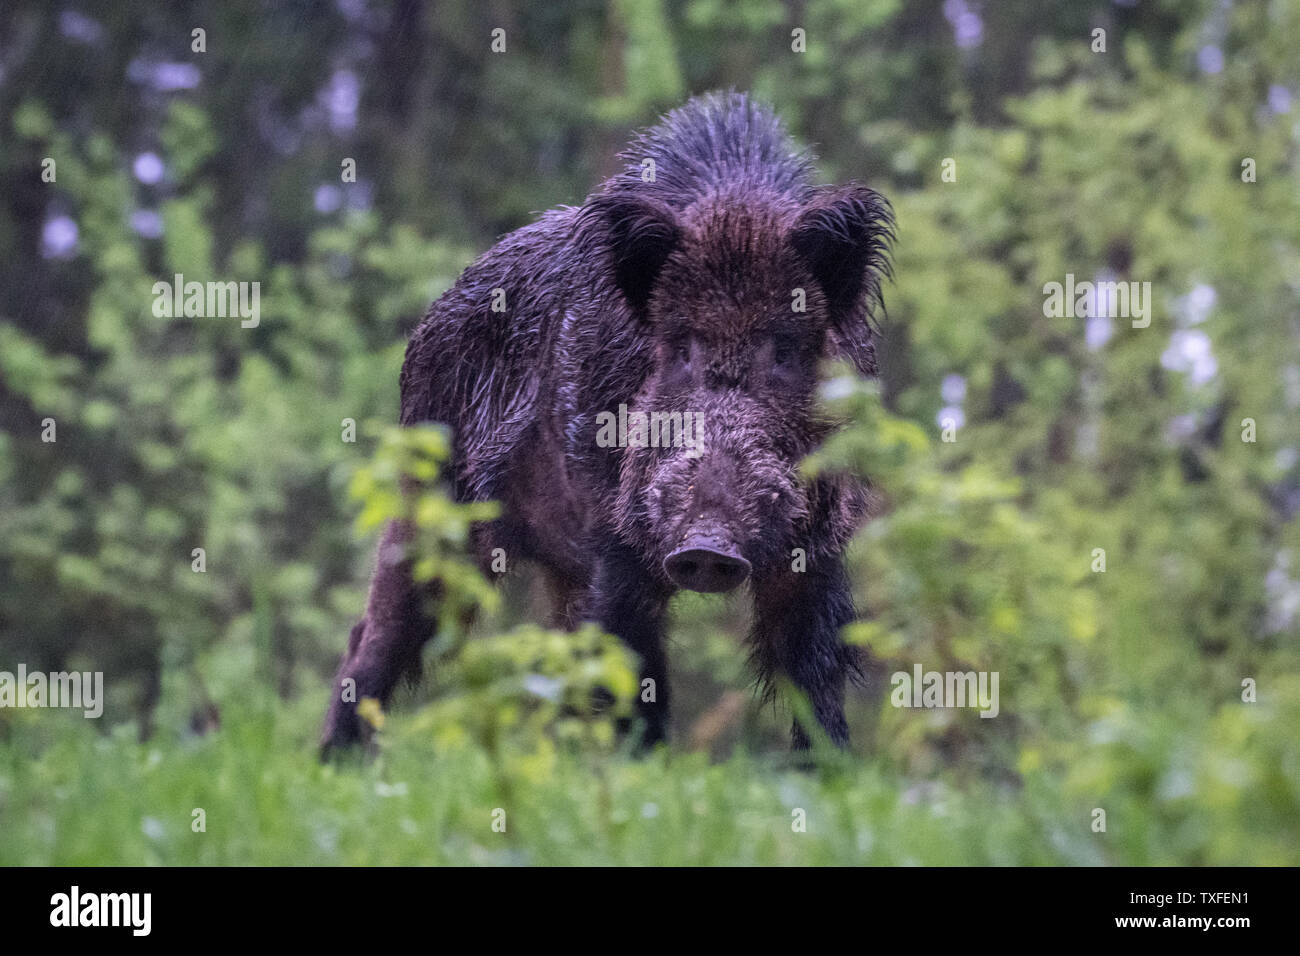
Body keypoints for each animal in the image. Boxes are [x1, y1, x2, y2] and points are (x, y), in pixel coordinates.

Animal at [321, 91, 894, 755]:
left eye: (784, 351)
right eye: (680, 348)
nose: (707, 544)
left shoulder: (820, 549)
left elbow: (812, 673)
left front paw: (826, 768)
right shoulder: (612, 539)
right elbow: (630, 665)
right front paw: (642, 766)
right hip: (433, 504)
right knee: (378, 632)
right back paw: (335, 763)